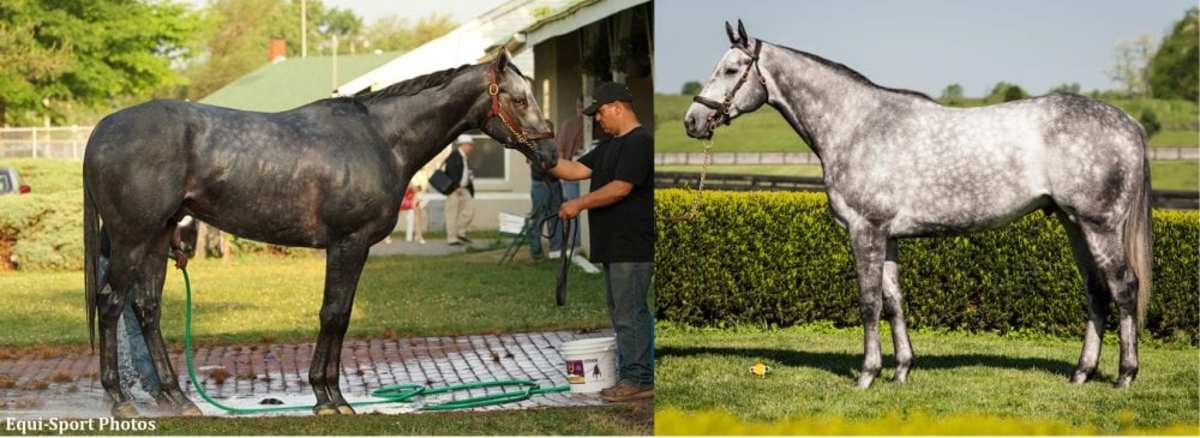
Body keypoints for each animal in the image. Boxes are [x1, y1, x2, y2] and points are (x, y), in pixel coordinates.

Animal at [83, 51, 557, 418]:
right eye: (519, 99)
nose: (551, 153)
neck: (381, 139)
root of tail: (102, 130)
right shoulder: (349, 242)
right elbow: (335, 314)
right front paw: (329, 398)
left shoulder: (349, 246)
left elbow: (340, 314)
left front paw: (329, 394)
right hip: (131, 239)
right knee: (111, 304)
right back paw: (120, 399)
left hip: (158, 237)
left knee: (147, 308)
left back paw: (177, 398)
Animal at [684, 20, 1152, 389]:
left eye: (731, 69)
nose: (693, 120)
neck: (857, 125)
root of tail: (1128, 122)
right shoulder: (888, 236)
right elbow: (894, 301)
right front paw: (901, 370)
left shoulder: (865, 230)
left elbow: (869, 301)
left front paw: (867, 374)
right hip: (1074, 224)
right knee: (1096, 292)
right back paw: (1082, 374)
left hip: (1099, 225)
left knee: (1123, 287)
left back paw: (1125, 375)